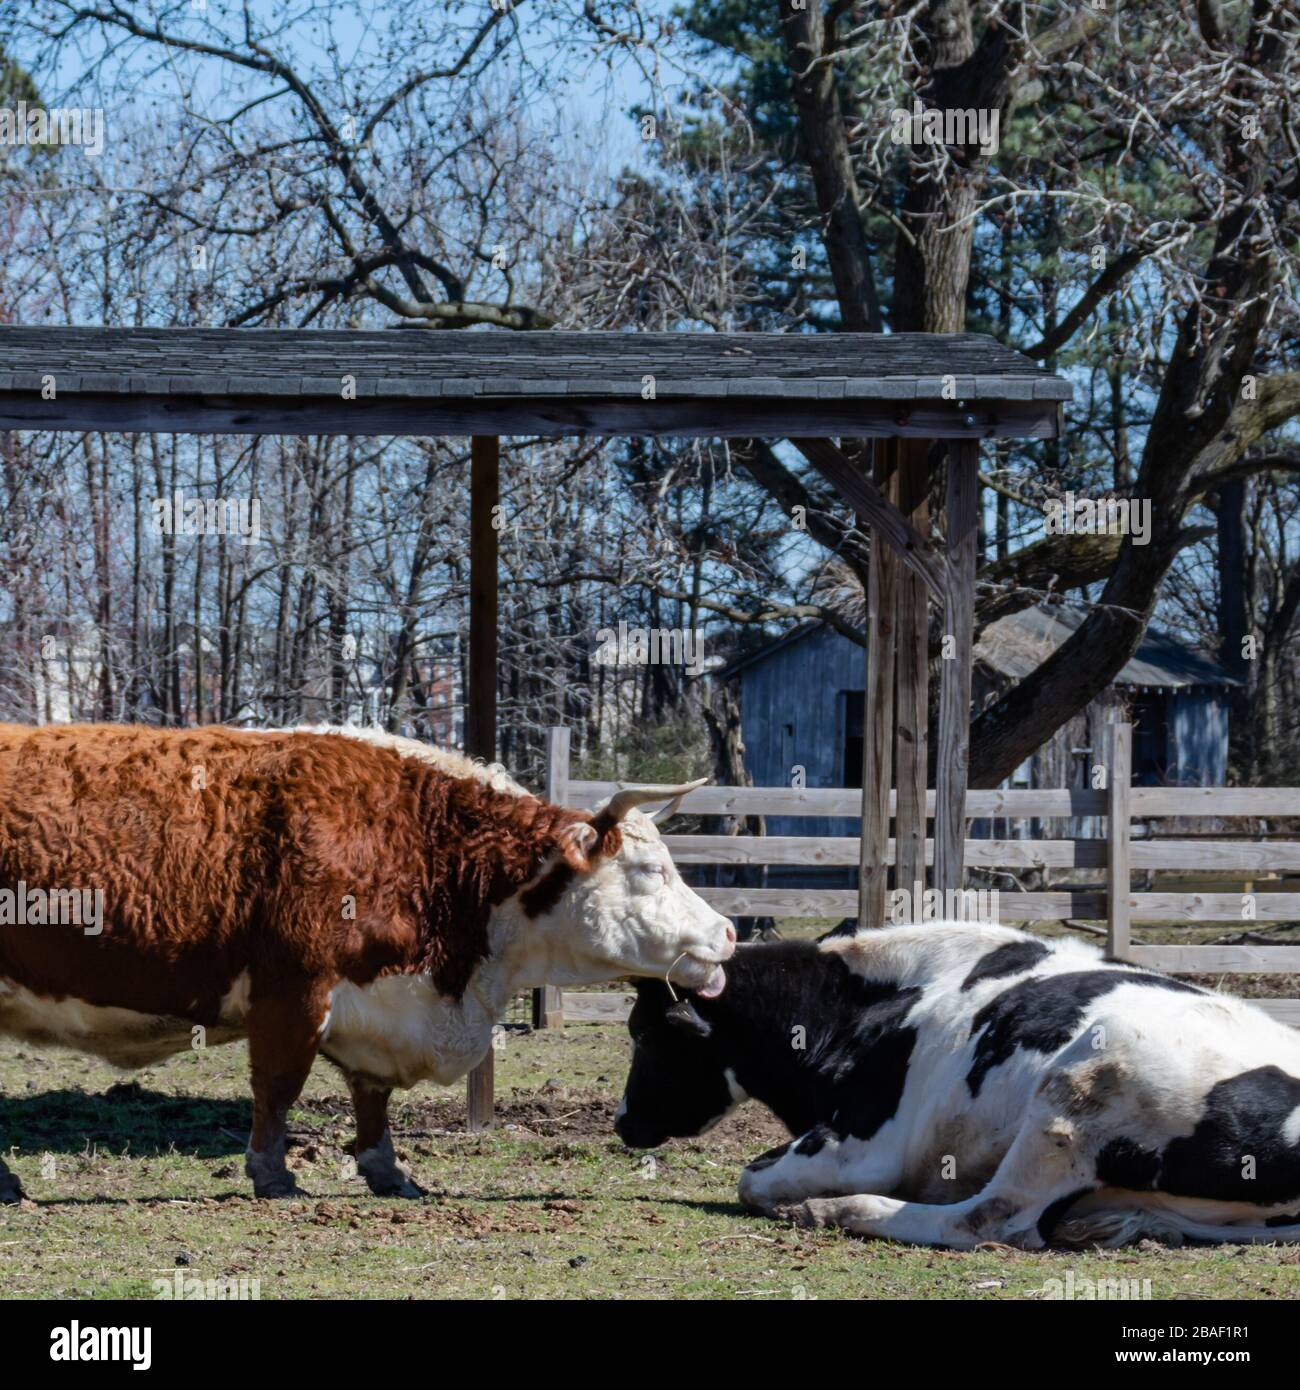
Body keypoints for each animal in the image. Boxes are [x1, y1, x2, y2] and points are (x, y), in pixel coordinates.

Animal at [0, 722, 735, 1200]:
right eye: (648, 870)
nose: (727, 933)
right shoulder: (294, 989)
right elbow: (278, 1086)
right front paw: (274, 1175)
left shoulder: (382, 1003)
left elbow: (371, 1096)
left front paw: (388, 1171)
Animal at [615, 922, 1300, 1249]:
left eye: (645, 1035)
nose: (622, 1122)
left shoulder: (868, 1147)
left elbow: (750, 1179)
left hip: (1088, 1080)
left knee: (987, 1221)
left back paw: (839, 1210)